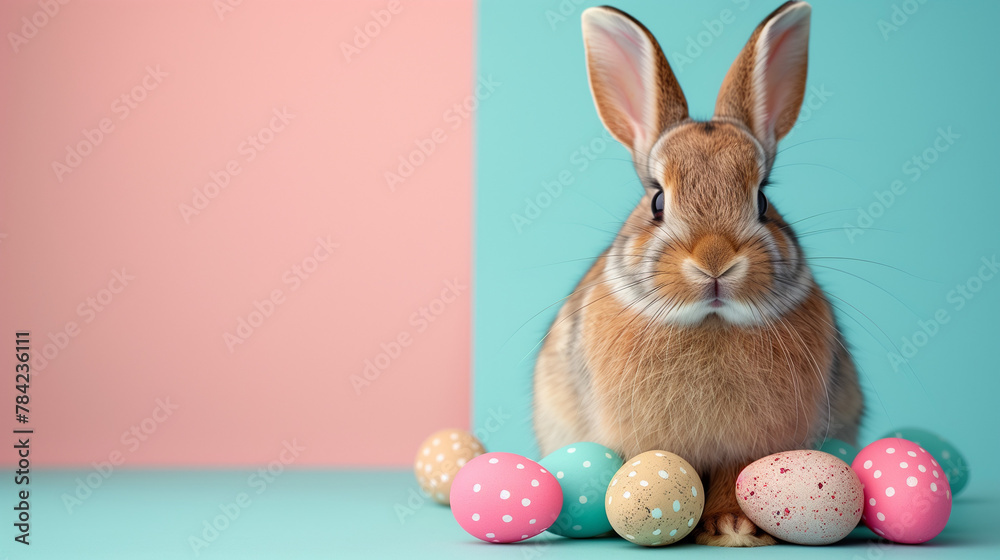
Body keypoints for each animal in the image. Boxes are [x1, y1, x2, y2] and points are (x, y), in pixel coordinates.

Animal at [532, 1, 864, 547]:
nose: (715, 259)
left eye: (763, 200)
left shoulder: (749, 447)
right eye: (657, 201)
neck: (712, 321)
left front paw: (733, 527)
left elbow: (735, 479)